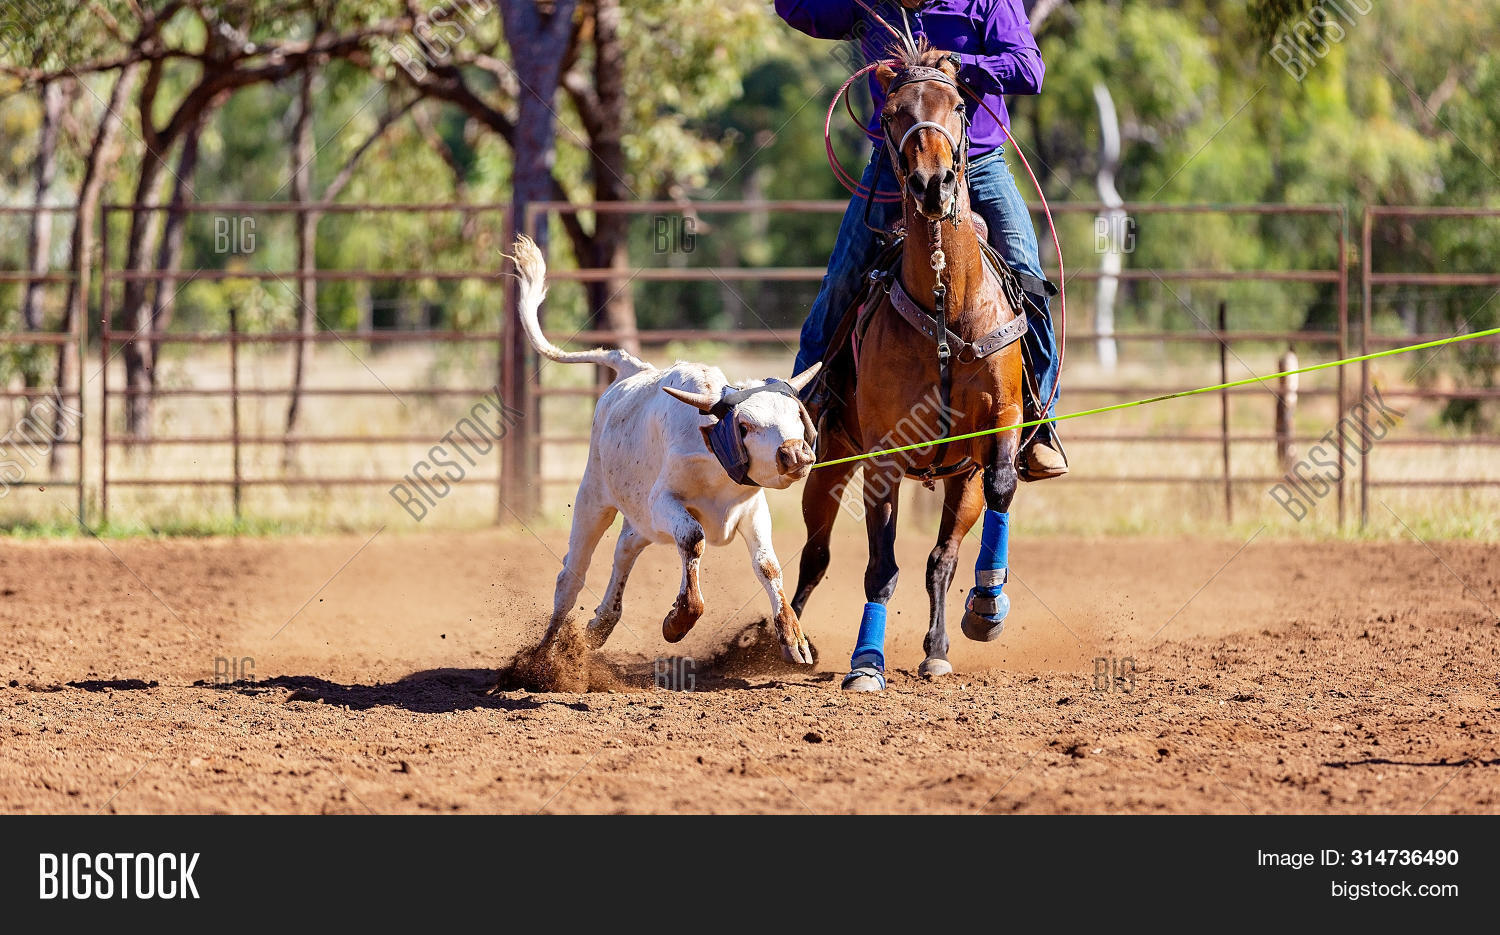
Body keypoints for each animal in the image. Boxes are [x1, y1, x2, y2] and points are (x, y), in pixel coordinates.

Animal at [510, 236, 821, 664]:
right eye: (744, 426)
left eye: (796, 414)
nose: (796, 455)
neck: (711, 452)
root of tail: (630, 368)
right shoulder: (664, 503)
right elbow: (693, 539)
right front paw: (678, 621)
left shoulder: (752, 509)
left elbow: (768, 566)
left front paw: (793, 638)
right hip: (595, 499)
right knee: (571, 576)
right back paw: (543, 658)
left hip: (641, 522)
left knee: (624, 550)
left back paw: (601, 623)